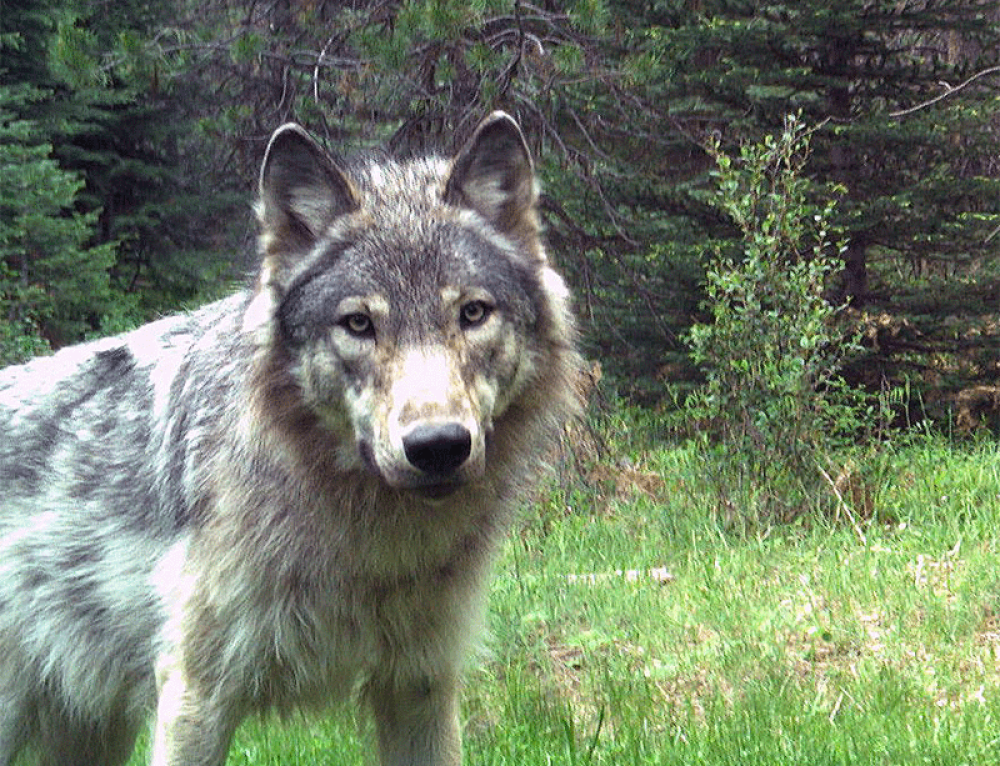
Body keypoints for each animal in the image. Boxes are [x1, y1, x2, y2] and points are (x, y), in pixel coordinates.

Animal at [0, 111, 579, 766]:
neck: (371, 547)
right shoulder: (197, 695)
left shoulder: (420, 684)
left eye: (473, 313)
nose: (437, 446)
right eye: (359, 323)